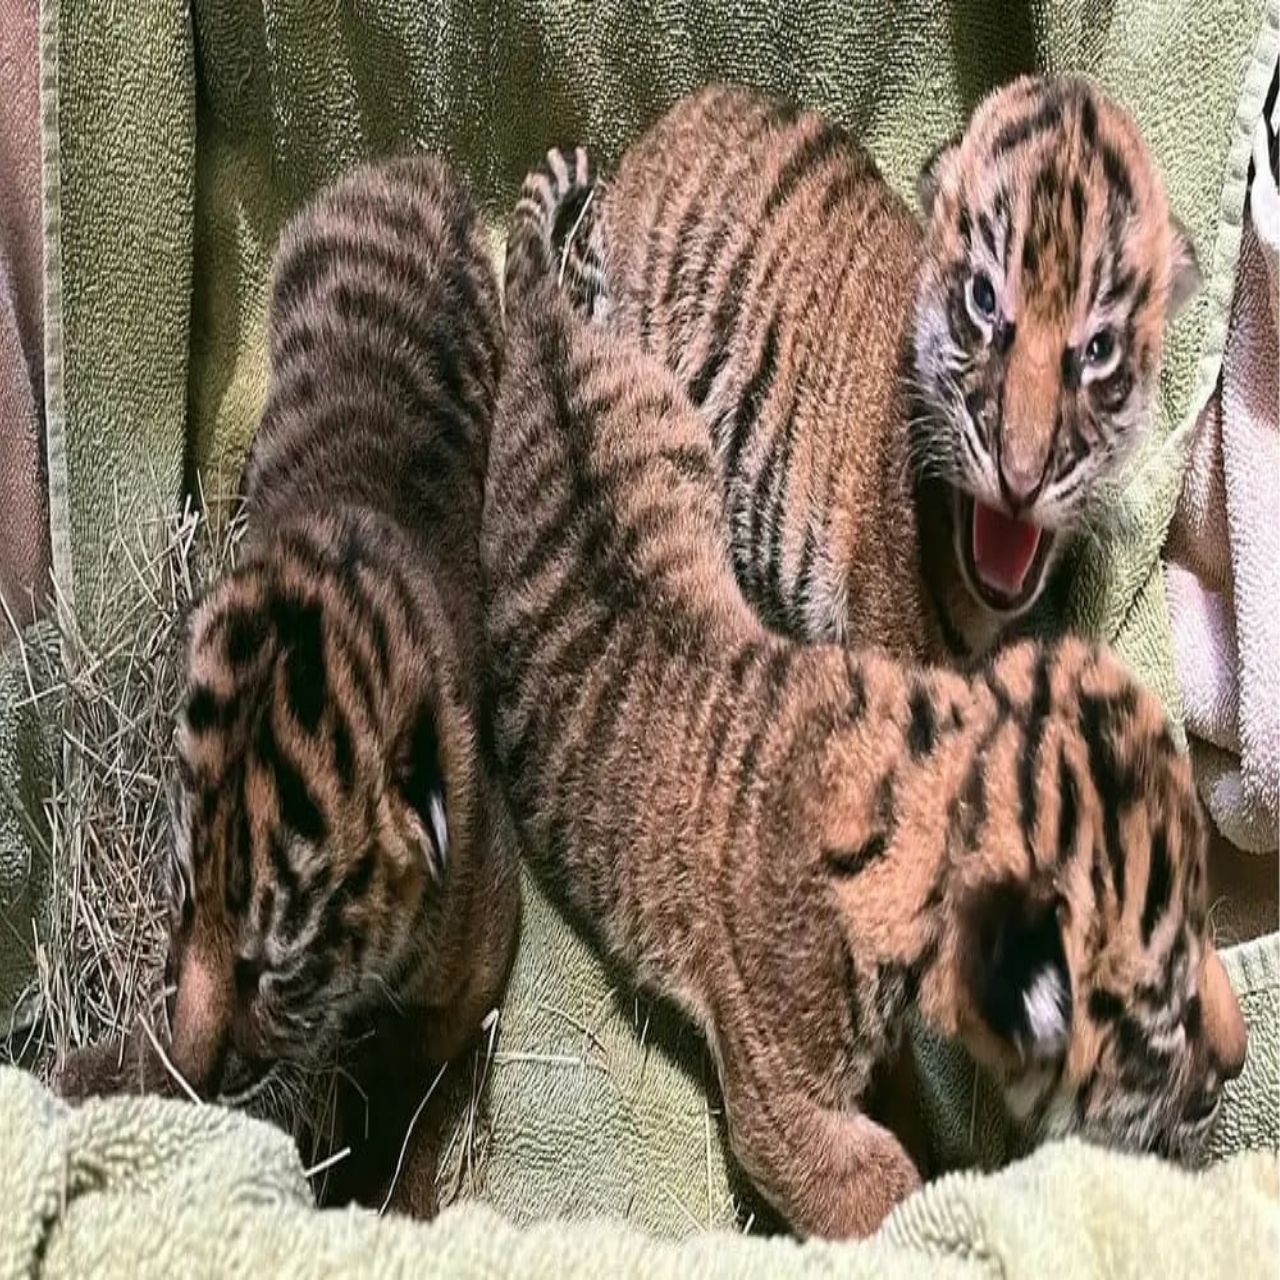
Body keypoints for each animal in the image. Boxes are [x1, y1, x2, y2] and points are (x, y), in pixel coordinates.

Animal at [59, 155, 521, 1212]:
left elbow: (412, 1085)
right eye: (181, 901)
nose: (201, 1071)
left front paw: (381, 1184)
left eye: (275, 966)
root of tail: (410, 166)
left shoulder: (473, 960)